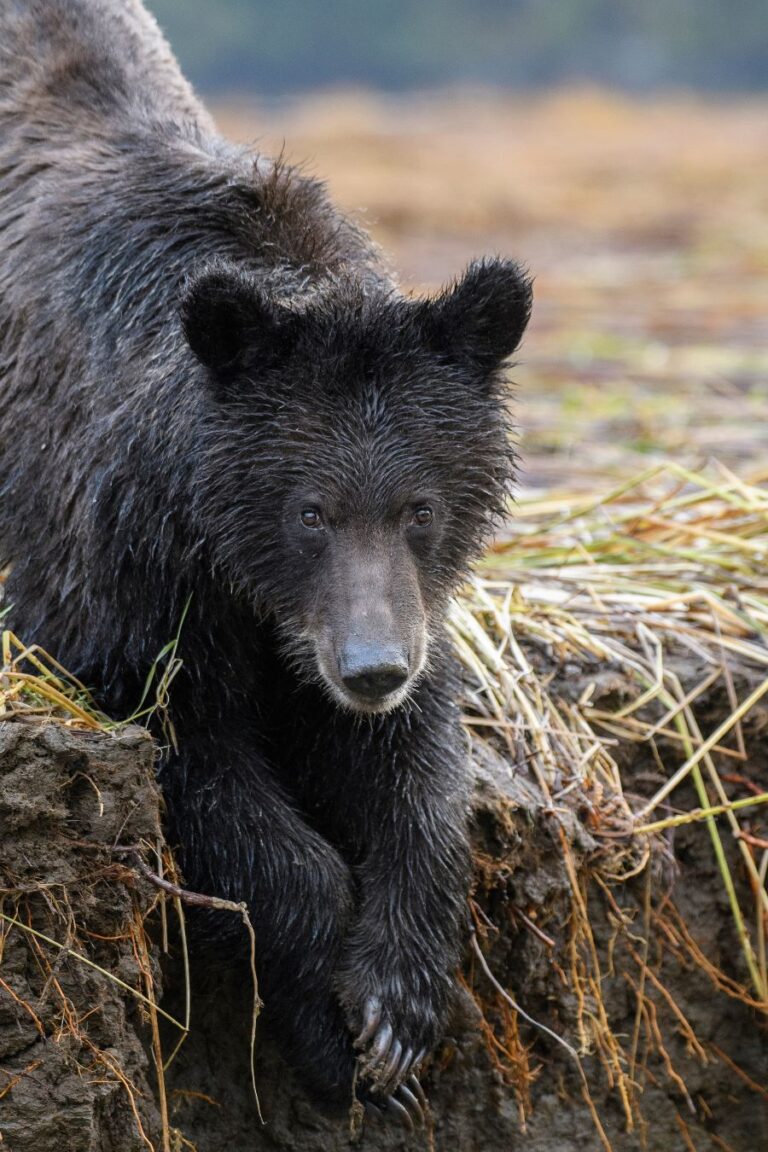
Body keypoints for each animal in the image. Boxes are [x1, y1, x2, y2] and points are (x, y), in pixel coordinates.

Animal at [0, 0, 532, 1125]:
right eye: (309, 510)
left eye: (421, 507)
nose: (370, 668)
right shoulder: (115, 567)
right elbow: (192, 756)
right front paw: (333, 1033)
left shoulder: (380, 612)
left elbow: (414, 771)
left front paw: (398, 1004)